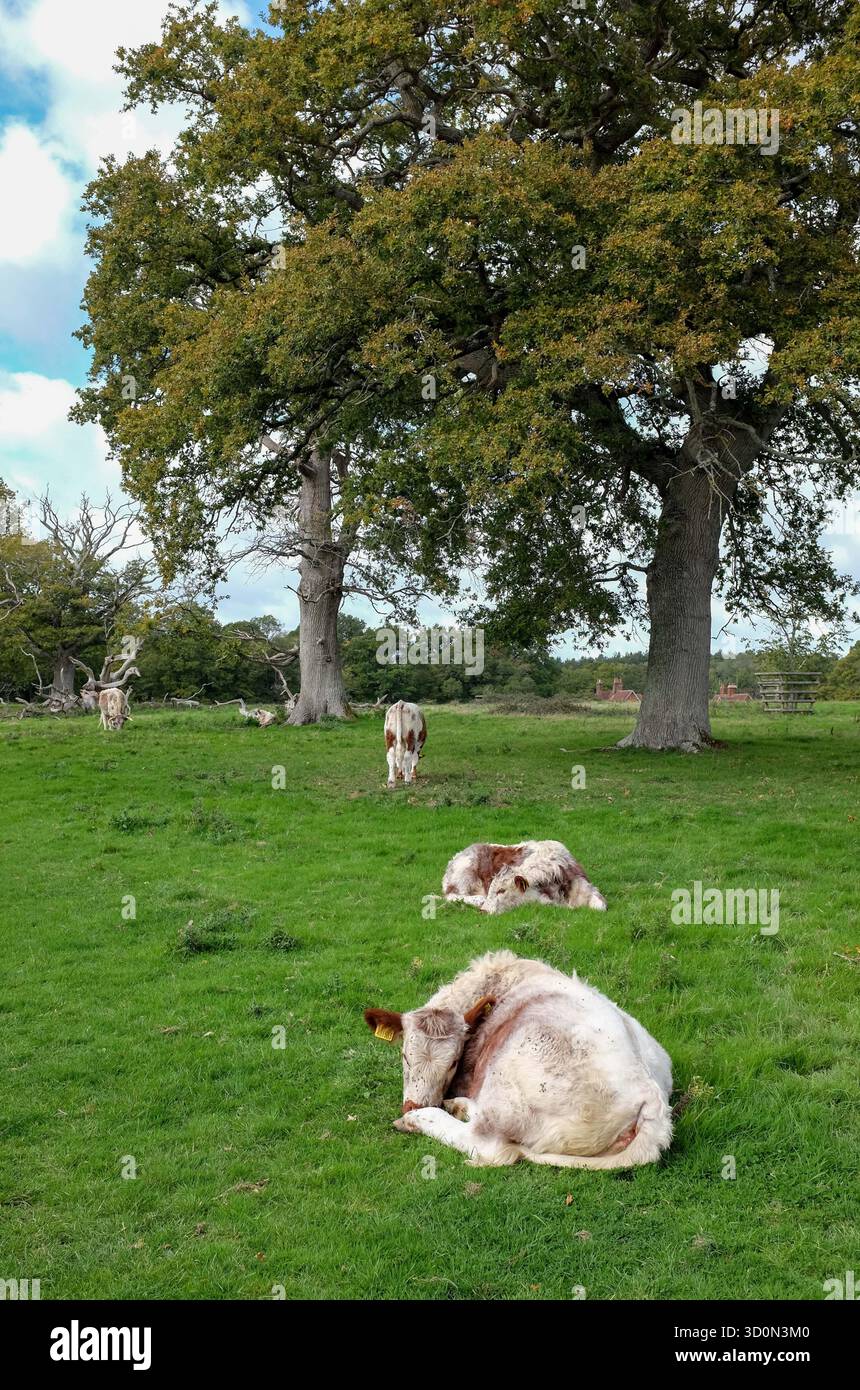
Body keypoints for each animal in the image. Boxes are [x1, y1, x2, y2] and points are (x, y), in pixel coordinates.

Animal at [365, 950, 673, 1170]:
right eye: (405, 1056)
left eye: (453, 1062)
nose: (413, 1104)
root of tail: (650, 1095)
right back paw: (456, 1106)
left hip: (509, 1085)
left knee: (486, 1142)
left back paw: (420, 1118)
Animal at [442, 839, 606, 913]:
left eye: (502, 890)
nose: (484, 910)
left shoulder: (585, 886)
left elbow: (600, 906)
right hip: (464, 872)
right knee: (452, 895)